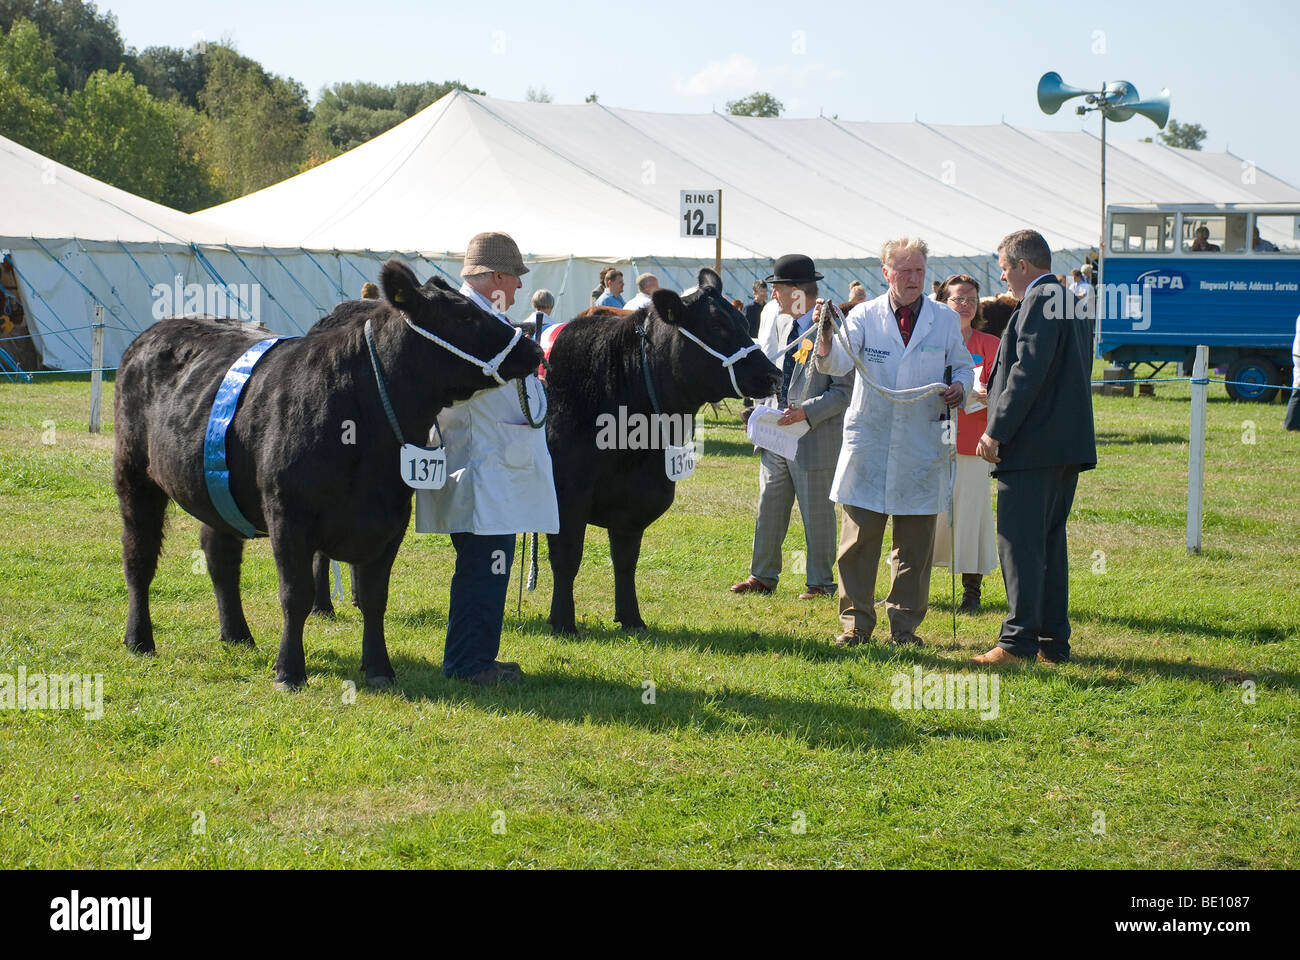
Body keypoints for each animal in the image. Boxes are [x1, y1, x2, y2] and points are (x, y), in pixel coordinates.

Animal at [113, 259, 543, 690]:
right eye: (466, 315)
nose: (534, 348)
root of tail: (154, 332)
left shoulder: (392, 518)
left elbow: (374, 596)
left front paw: (380, 668)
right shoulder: (288, 514)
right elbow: (296, 594)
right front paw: (290, 671)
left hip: (215, 487)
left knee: (220, 557)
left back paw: (237, 635)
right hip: (134, 474)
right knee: (139, 556)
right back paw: (139, 639)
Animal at [544, 267, 782, 634]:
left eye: (744, 323)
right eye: (718, 326)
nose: (774, 375)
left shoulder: (636, 499)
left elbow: (626, 560)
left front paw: (631, 619)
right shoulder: (566, 493)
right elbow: (567, 556)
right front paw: (562, 622)